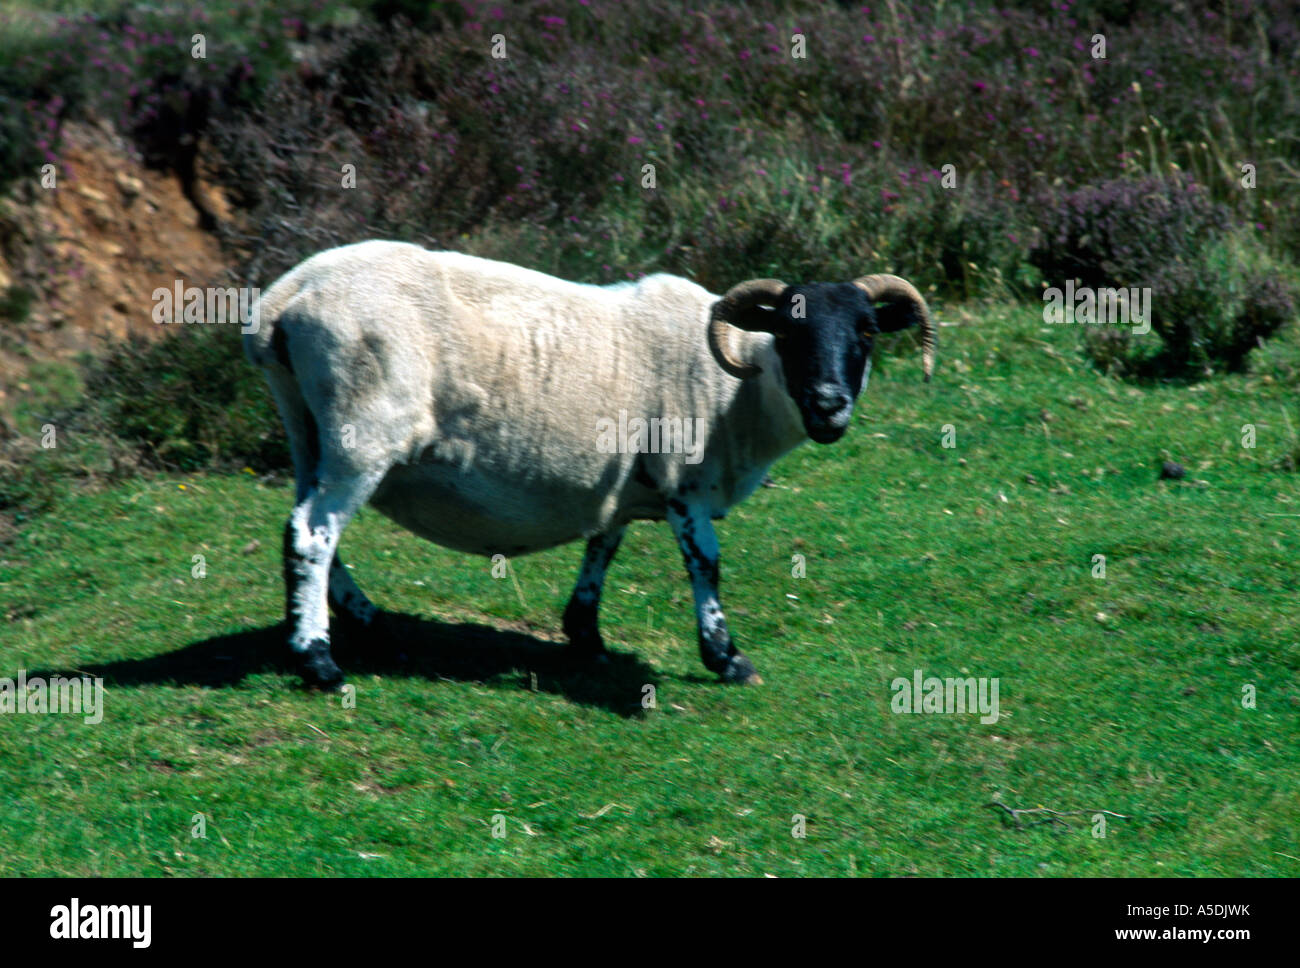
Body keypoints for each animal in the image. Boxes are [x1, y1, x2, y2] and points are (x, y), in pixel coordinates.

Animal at [245, 240, 935, 688]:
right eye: (789, 333)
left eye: (867, 331)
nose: (829, 405)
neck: (737, 387)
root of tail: (285, 299)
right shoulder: (685, 482)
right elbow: (705, 564)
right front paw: (726, 657)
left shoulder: (626, 478)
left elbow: (604, 544)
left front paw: (584, 634)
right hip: (365, 429)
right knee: (314, 532)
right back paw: (318, 659)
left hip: (308, 427)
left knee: (310, 528)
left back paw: (367, 624)